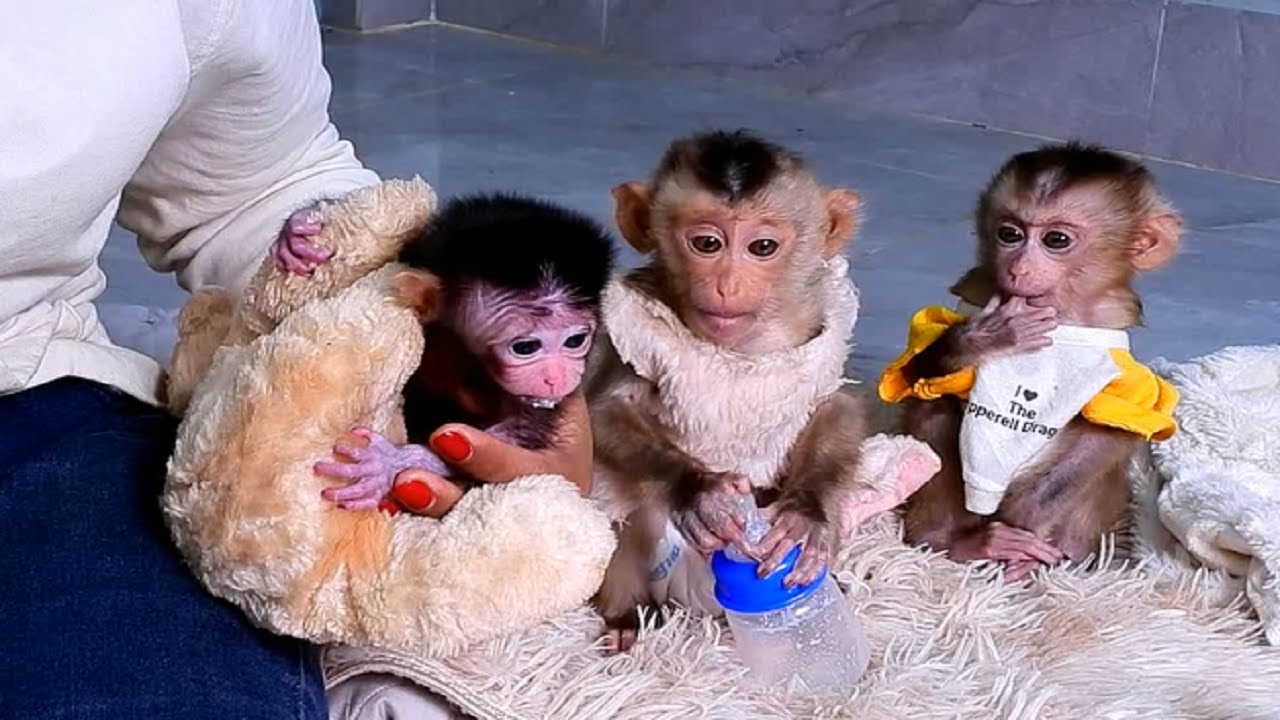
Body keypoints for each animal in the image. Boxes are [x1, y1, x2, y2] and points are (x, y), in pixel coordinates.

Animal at [311, 193, 616, 511]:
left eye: (575, 341)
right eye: (526, 347)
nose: (556, 377)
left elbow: (510, 433)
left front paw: (391, 463)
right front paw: (299, 244)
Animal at [586, 129, 869, 650]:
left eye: (762, 247)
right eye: (706, 243)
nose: (726, 284)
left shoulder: (822, 335)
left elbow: (834, 406)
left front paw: (805, 514)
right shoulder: (632, 329)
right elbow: (606, 410)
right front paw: (700, 493)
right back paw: (626, 611)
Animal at [878, 142, 1182, 581]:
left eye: (1056, 239)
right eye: (1010, 234)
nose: (1018, 268)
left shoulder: (1120, 361)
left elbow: (1114, 428)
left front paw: (1020, 519)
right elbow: (918, 373)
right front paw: (988, 336)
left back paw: (1061, 560)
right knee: (934, 406)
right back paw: (955, 541)